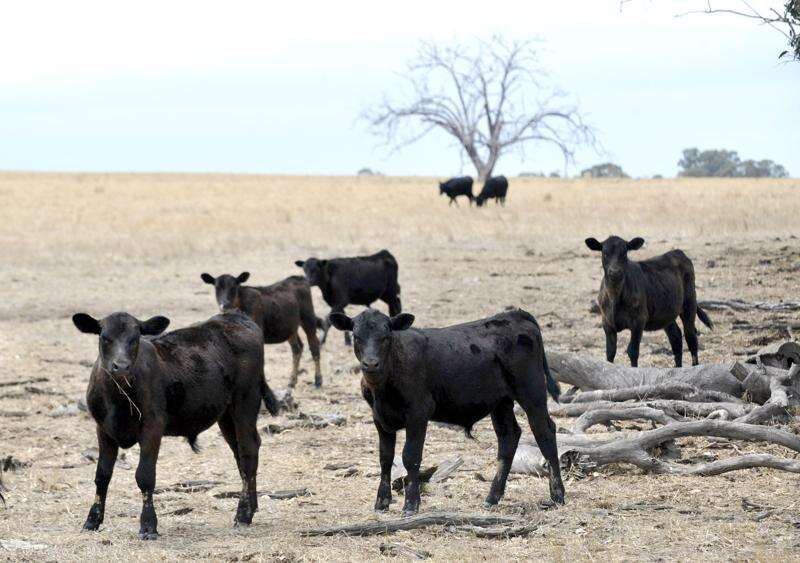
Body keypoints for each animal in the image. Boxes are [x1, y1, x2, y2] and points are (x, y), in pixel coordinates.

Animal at [72, 310, 278, 539]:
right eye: (105, 338)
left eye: (135, 339)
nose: (121, 366)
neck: (119, 398)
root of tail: (235, 316)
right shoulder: (104, 429)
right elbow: (102, 475)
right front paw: (92, 520)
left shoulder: (153, 427)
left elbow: (145, 476)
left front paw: (148, 526)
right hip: (225, 414)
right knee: (240, 452)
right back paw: (252, 506)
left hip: (245, 401)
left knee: (248, 450)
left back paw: (243, 514)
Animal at [328, 308, 564, 516]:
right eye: (356, 336)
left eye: (386, 336)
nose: (370, 364)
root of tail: (515, 314)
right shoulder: (380, 419)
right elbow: (385, 458)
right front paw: (382, 502)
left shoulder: (418, 413)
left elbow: (410, 457)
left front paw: (411, 504)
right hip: (501, 402)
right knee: (508, 437)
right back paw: (492, 497)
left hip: (531, 391)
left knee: (544, 432)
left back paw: (557, 494)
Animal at [584, 235, 714, 367]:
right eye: (604, 253)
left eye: (624, 253)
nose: (615, 272)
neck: (615, 297)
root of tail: (677, 252)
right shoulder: (607, 323)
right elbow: (610, 352)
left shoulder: (639, 321)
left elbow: (632, 351)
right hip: (666, 313)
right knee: (676, 338)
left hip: (689, 303)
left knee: (691, 337)